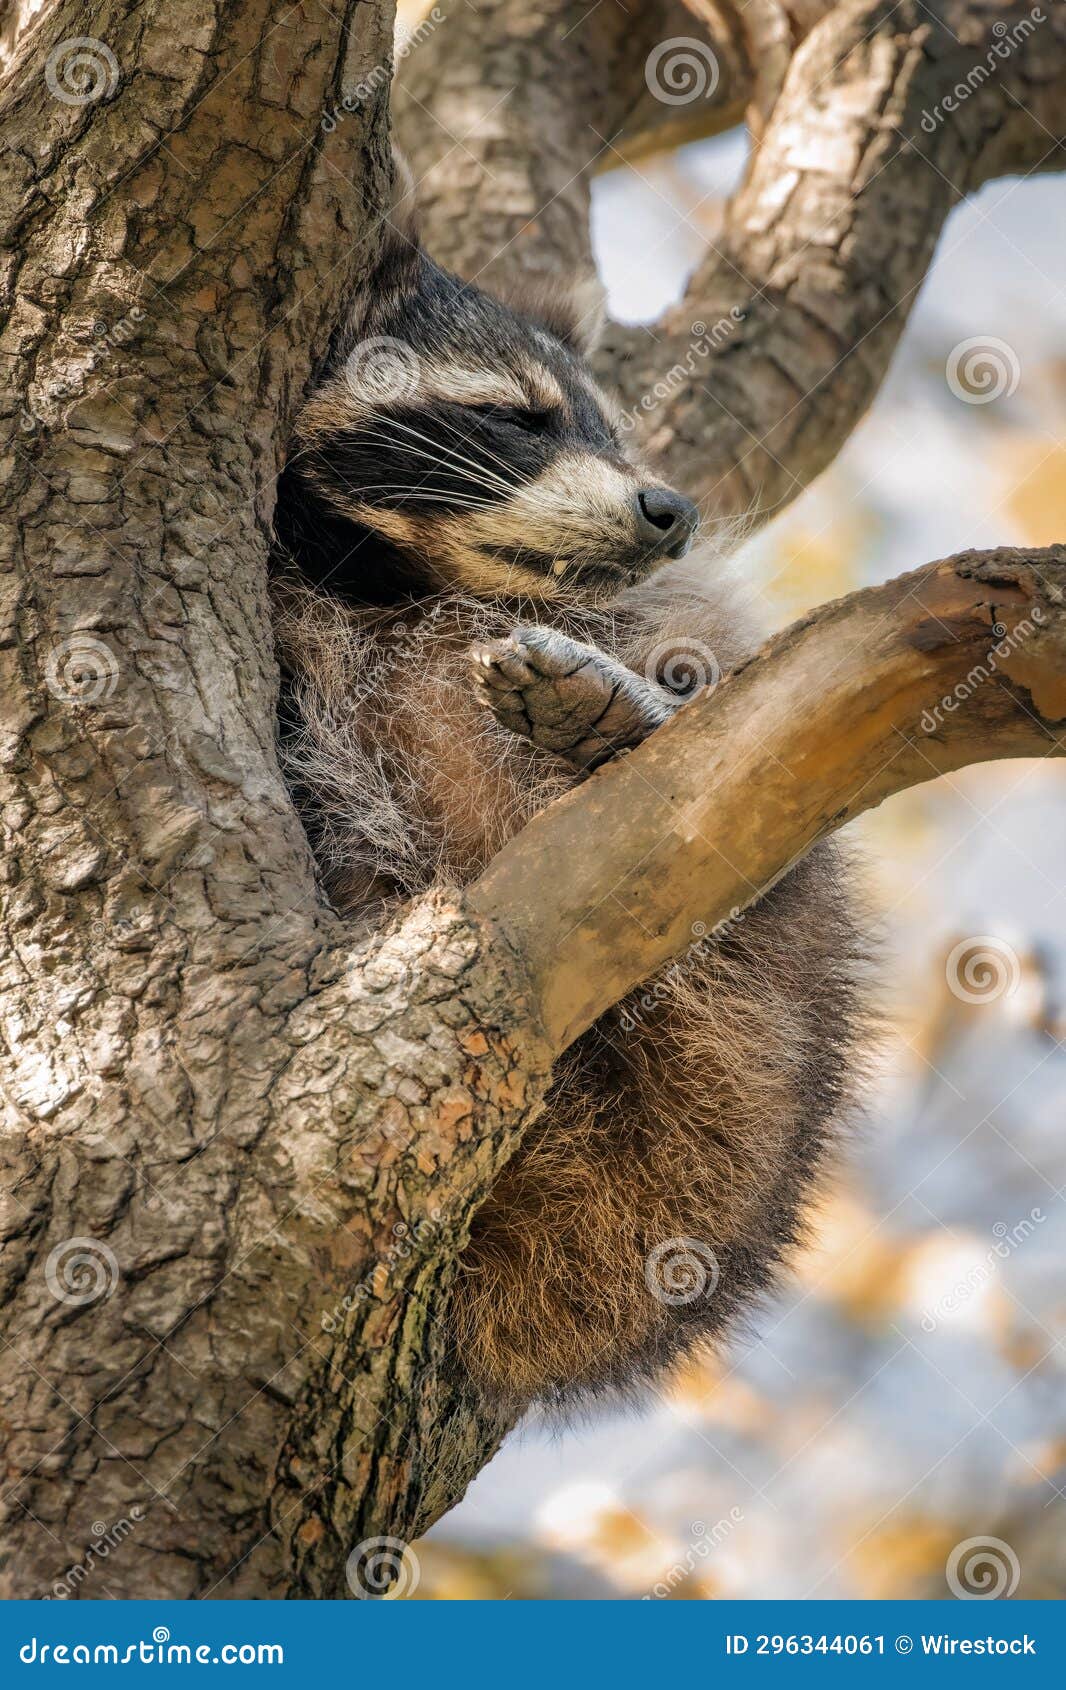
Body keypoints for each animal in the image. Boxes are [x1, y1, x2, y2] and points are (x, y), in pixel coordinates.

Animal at [273, 205, 867, 1409]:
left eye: (607, 429)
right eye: (518, 418)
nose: (668, 508)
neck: (382, 573)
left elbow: (680, 619)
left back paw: (624, 736)